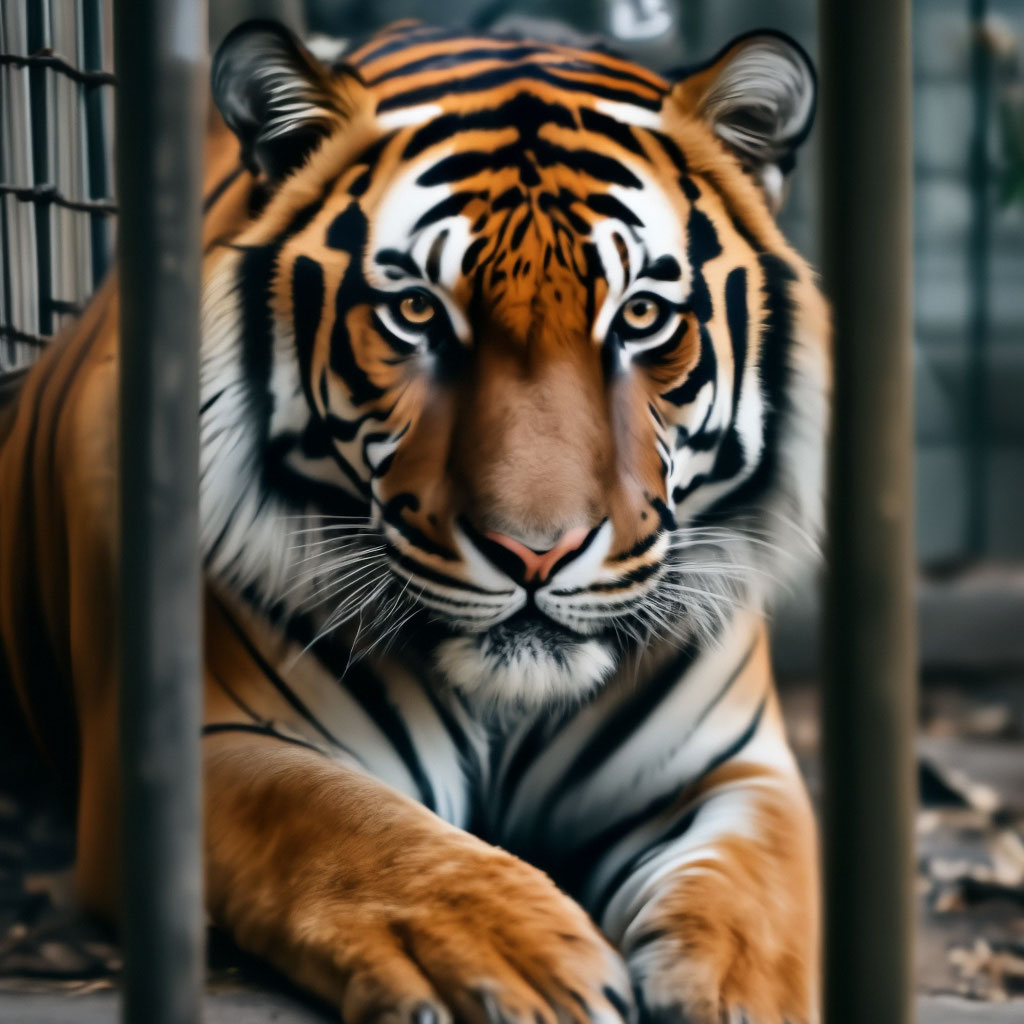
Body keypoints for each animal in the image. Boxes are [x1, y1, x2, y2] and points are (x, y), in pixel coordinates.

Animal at [0, 18, 830, 1024]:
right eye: (414, 312)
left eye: (639, 316)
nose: (534, 552)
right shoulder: (199, 749)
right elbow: (351, 829)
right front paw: (518, 962)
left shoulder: (737, 772)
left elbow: (752, 916)